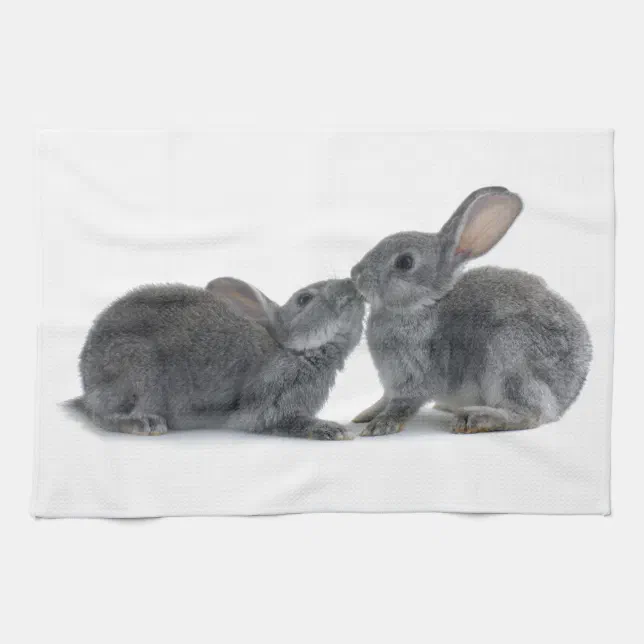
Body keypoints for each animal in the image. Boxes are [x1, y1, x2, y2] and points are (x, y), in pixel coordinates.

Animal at [69, 276, 365, 440]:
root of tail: (86, 382)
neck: (294, 350)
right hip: (136, 368)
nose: (352, 285)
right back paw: (144, 423)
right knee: (100, 415)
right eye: (304, 299)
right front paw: (334, 430)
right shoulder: (270, 405)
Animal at [350, 186, 592, 436]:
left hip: (510, 359)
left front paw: (380, 426)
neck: (423, 305)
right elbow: (383, 400)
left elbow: (401, 405)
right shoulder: (391, 385)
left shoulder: (413, 377)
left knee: (530, 414)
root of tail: (566, 399)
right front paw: (363, 416)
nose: (355, 274)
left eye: (405, 262)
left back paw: (474, 418)